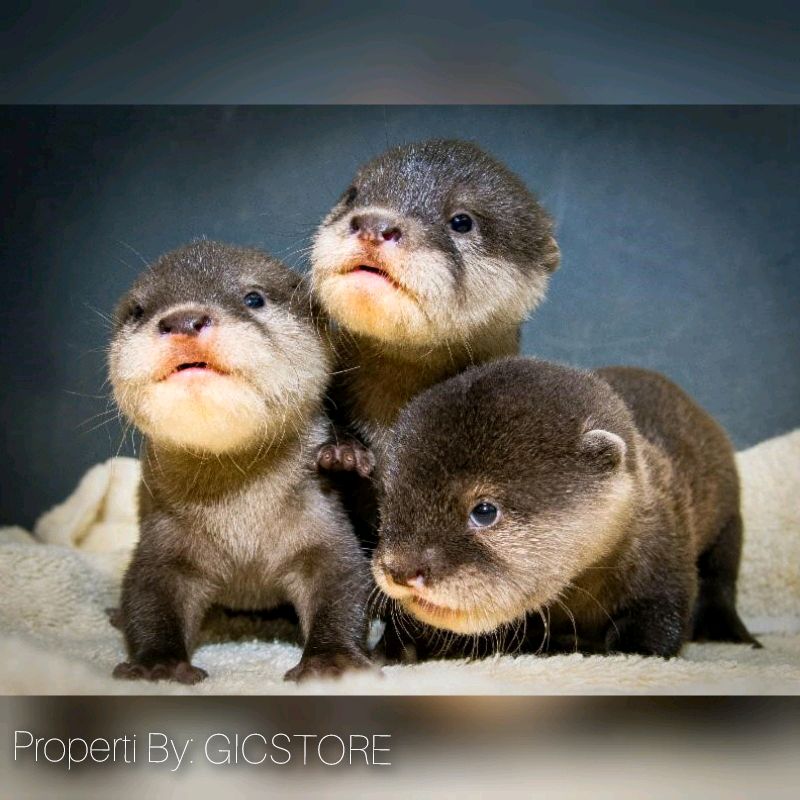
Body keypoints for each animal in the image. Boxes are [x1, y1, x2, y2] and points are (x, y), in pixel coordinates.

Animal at [108, 241, 371, 683]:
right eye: (139, 311)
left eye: (253, 298)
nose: (184, 319)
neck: (242, 524)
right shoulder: (163, 538)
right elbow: (147, 595)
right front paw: (158, 665)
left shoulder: (322, 524)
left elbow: (344, 583)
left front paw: (330, 661)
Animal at [373, 357, 760, 660]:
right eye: (389, 500)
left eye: (484, 511)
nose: (400, 569)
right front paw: (396, 647)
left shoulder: (663, 554)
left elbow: (655, 632)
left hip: (728, 519)